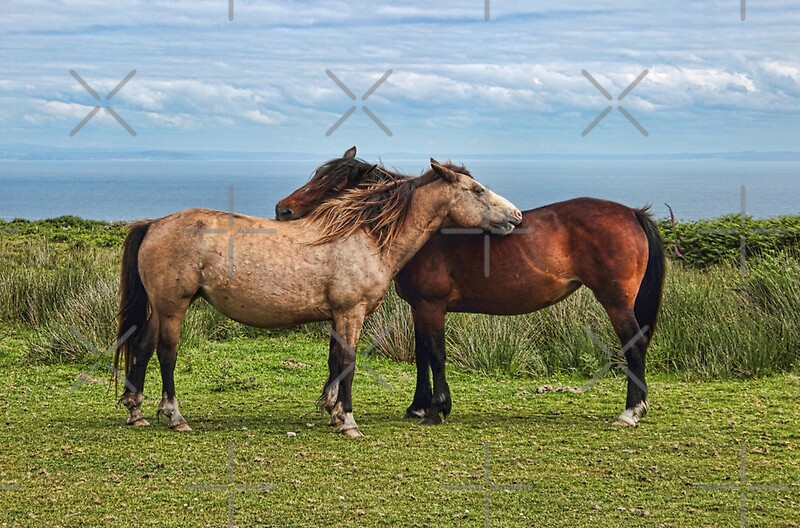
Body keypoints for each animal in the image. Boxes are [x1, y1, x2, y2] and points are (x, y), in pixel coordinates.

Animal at [114, 159, 522, 436]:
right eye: (477, 190)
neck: (366, 236)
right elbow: (349, 363)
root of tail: (154, 224)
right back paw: (175, 416)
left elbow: (336, 362)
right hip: (174, 306)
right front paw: (349, 422)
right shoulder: (351, 313)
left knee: (143, 346)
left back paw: (136, 412)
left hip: (160, 308)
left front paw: (336, 413)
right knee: (166, 353)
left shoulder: (338, 315)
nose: (516, 216)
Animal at [276, 147, 666, 427]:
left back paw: (630, 412)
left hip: (616, 301)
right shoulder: (419, 307)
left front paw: (437, 410)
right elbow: (421, 355)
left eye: (330, 185)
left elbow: (435, 355)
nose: (283, 210)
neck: (426, 234)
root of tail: (632, 214)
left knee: (634, 346)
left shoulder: (432, 306)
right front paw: (418, 407)